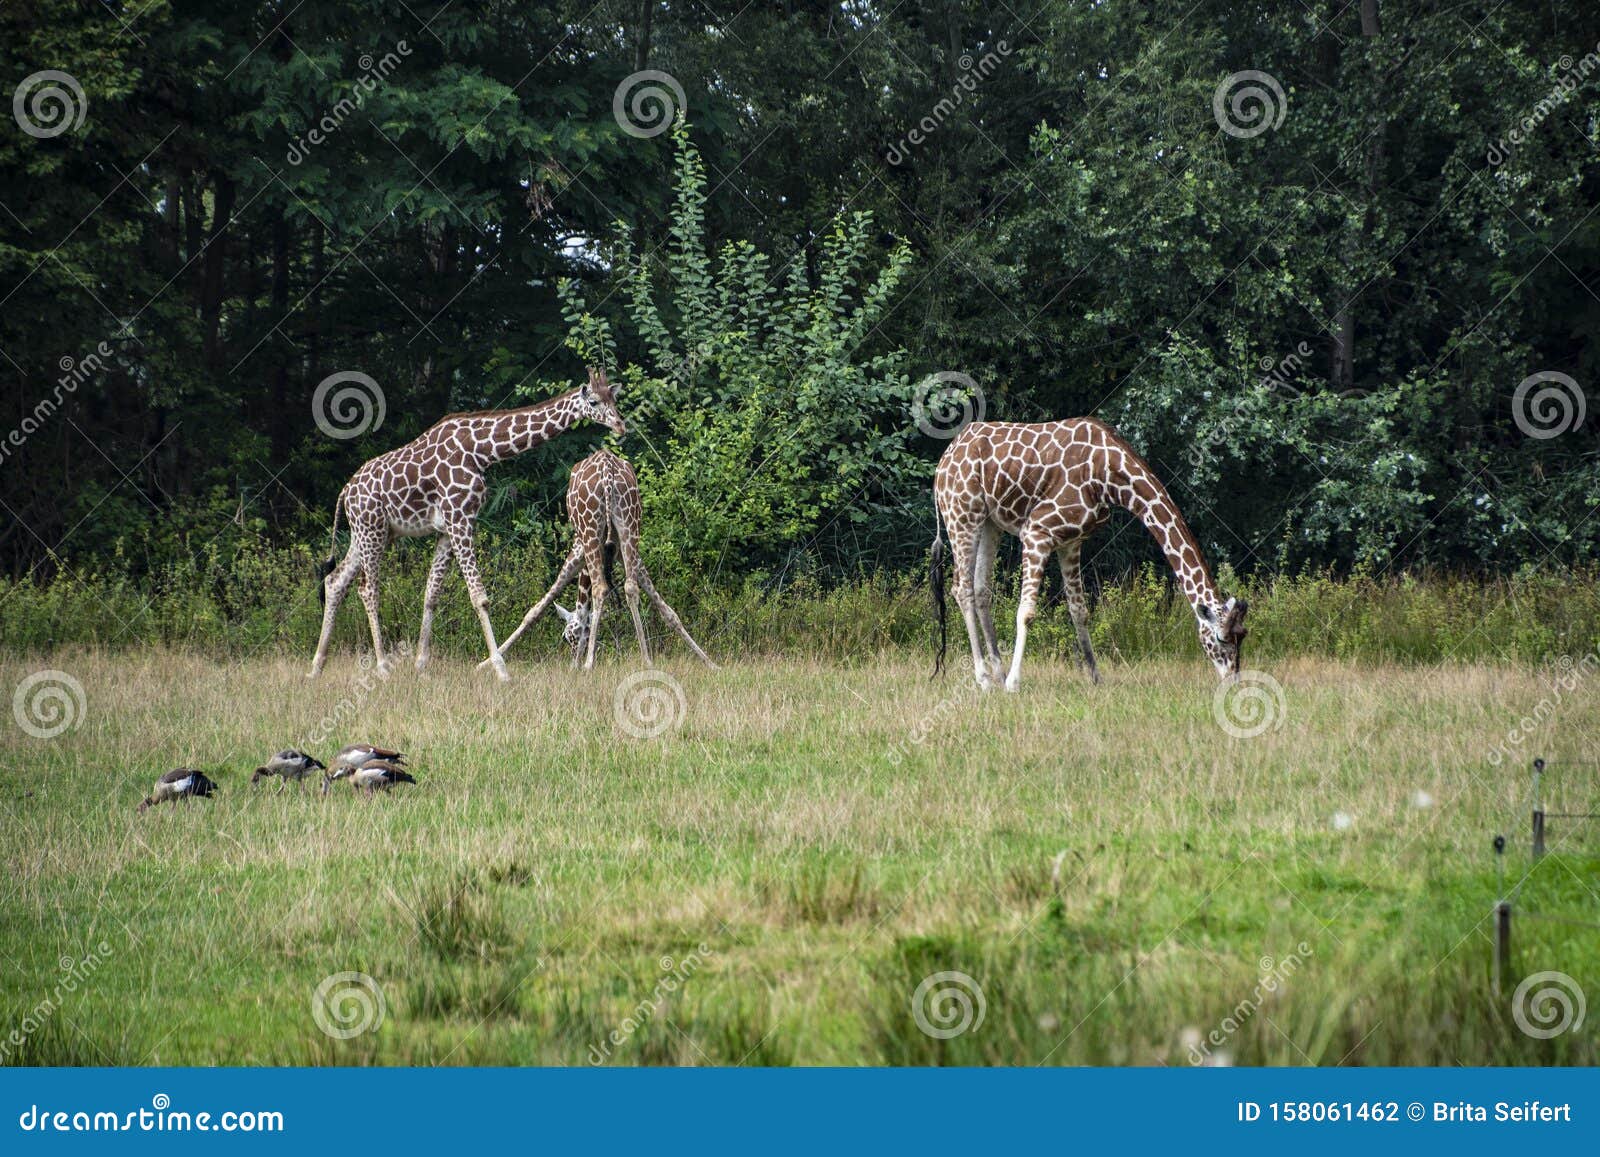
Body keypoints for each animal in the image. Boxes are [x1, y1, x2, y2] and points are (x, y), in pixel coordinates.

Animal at [307, 368, 626, 682]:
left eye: (614, 398)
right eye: (594, 401)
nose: (621, 425)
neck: (481, 449)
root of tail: (345, 493)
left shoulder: (448, 527)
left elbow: (431, 594)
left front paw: (421, 665)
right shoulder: (459, 517)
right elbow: (479, 597)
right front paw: (501, 670)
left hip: (372, 533)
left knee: (335, 582)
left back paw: (316, 667)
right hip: (370, 528)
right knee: (368, 588)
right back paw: (383, 667)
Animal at [483, 448, 717, 670]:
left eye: (567, 637)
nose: (573, 663)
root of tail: (607, 469)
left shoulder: (579, 548)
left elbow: (542, 606)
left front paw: (486, 663)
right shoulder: (623, 553)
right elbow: (665, 607)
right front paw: (709, 662)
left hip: (590, 530)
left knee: (600, 589)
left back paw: (590, 663)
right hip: (629, 526)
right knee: (631, 587)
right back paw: (646, 660)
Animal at [930, 417, 1248, 691]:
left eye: (1242, 636)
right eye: (1220, 639)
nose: (1233, 681)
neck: (1109, 476)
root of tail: (944, 461)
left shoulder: (1071, 541)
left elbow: (1079, 610)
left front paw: (1096, 678)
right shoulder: (1037, 531)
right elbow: (1027, 612)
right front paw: (1014, 684)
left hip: (989, 522)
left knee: (981, 588)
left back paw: (997, 672)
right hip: (962, 514)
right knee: (961, 588)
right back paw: (984, 679)